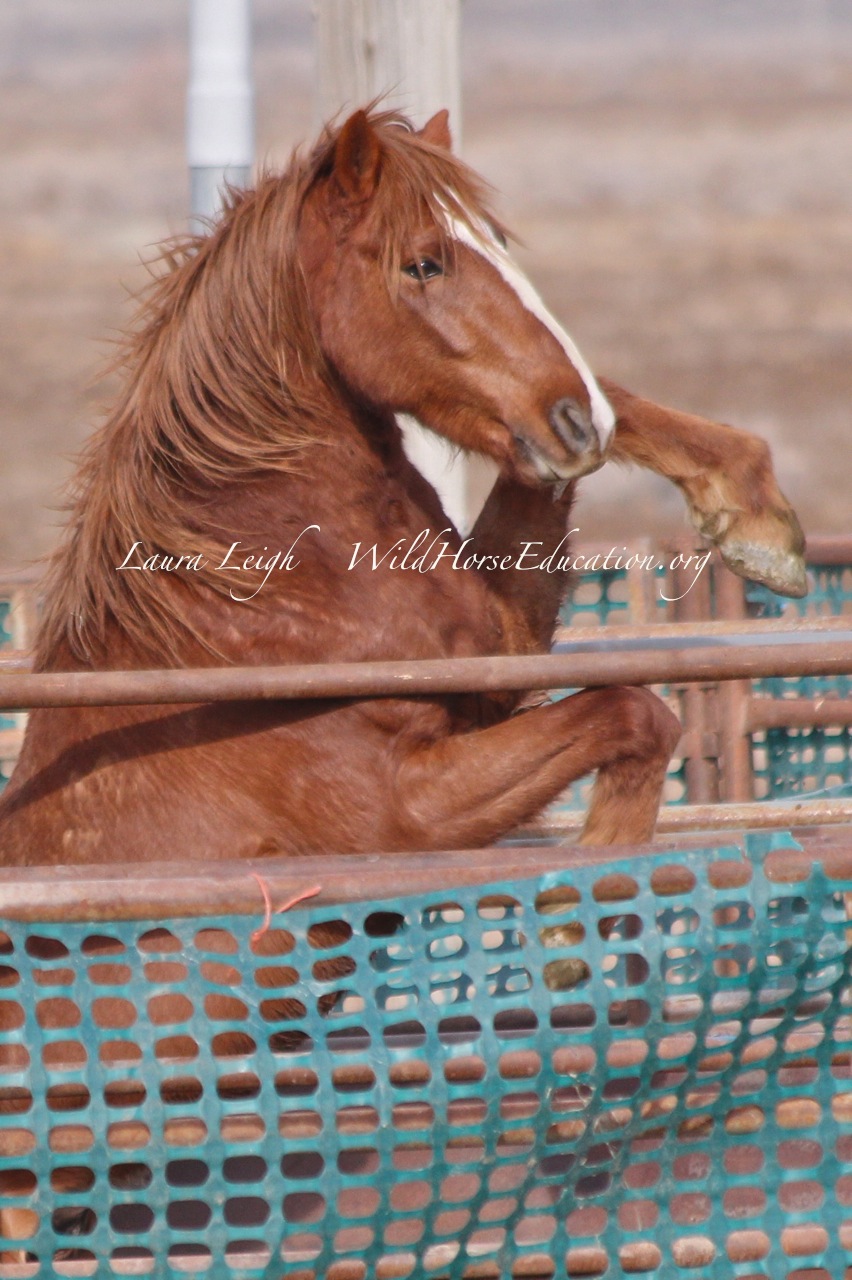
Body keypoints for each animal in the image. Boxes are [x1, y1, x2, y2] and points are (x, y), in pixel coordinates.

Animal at [0, 106, 805, 866]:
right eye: (423, 265)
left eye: (498, 246)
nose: (580, 425)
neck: (251, 597)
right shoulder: (403, 811)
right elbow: (631, 711)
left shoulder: (498, 658)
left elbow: (636, 706)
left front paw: (754, 517)